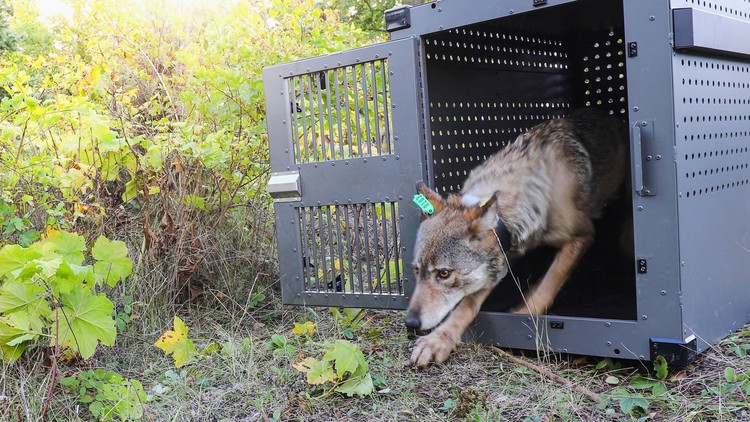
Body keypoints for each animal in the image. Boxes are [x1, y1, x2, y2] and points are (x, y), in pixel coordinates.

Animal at [406, 108, 628, 368]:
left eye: (444, 274)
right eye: (417, 271)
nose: (410, 323)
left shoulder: (583, 234)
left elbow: (549, 282)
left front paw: (523, 314)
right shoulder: (500, 258)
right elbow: (466, 305)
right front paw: (438, 340)